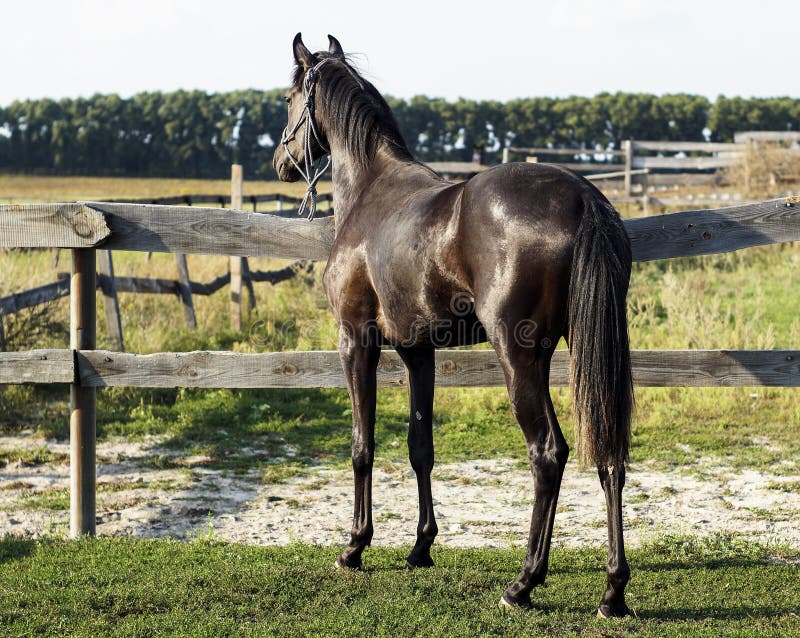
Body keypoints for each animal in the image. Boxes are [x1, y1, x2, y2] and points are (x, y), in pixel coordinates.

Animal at [273, 33, 634, 618]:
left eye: (288, 99)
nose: (281, 159)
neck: (371, 190)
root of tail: (583, 198)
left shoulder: (357, 340)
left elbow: (362, 444)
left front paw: (355, 546)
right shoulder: (418, 350)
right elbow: (421, 446)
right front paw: (420, 546)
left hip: (519, 355)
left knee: (548, 453)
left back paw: (524, 582)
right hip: (585, 352)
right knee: (608, 454)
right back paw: (613, 589)